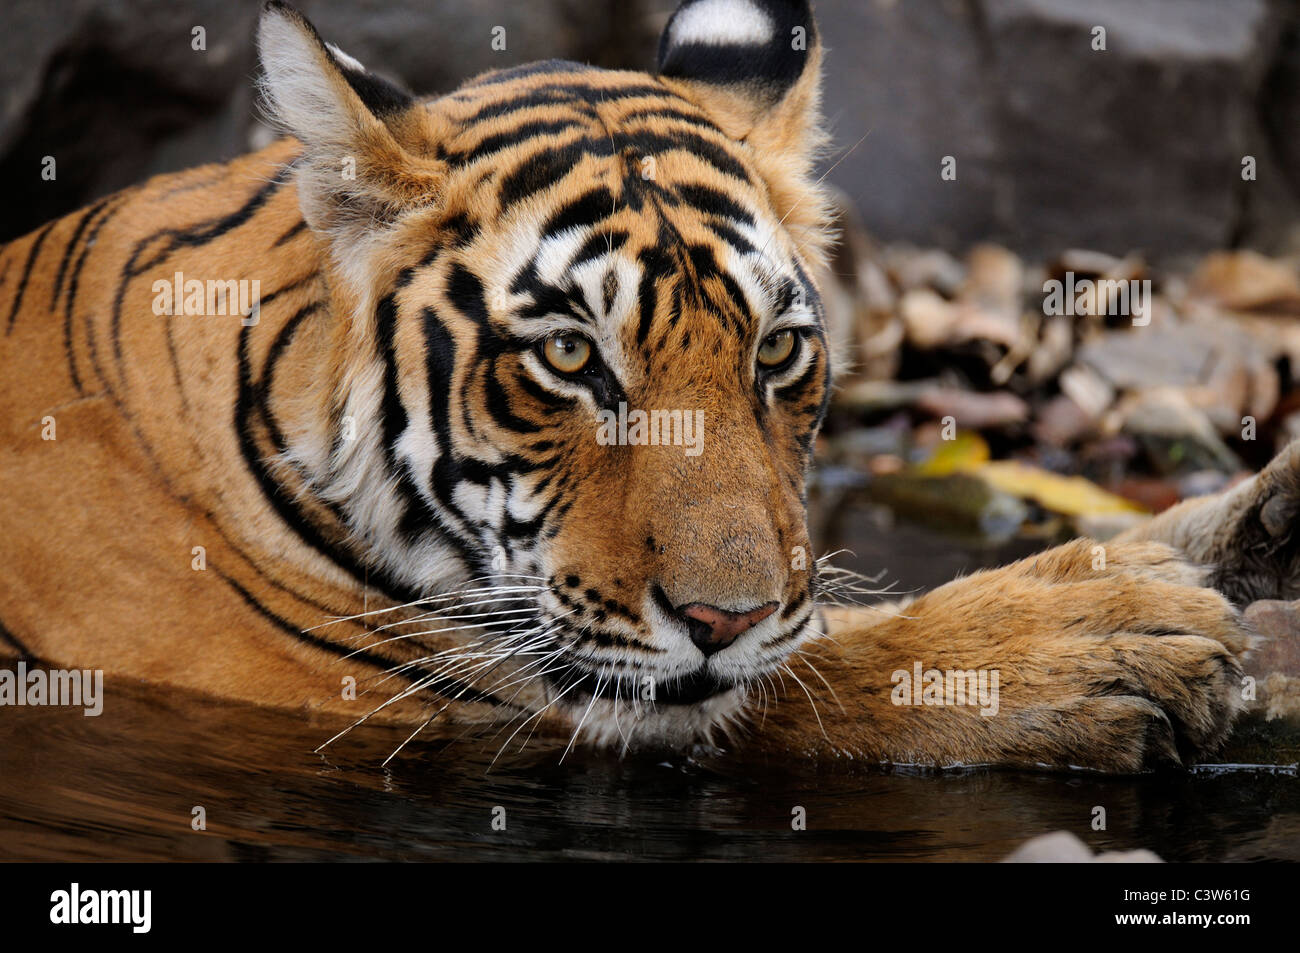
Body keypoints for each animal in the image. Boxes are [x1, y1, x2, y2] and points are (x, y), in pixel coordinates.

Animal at [1, 0, 1298, 771]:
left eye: (773, 352)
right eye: (571, 356)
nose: (723, 619)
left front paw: (1249, 534)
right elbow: (818, 673)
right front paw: (1094, 638)